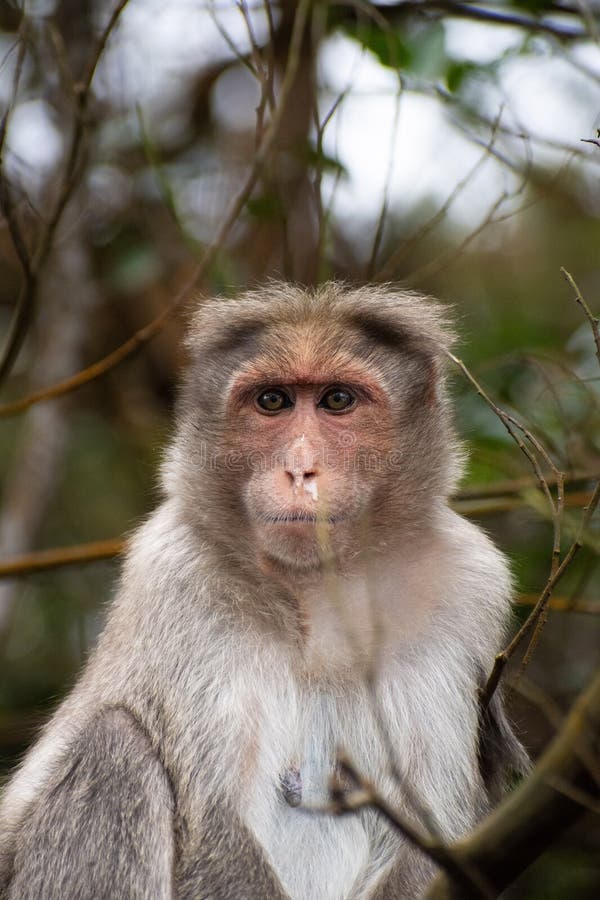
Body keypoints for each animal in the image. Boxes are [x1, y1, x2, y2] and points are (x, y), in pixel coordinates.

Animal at [0, 283, 527, 900]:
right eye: (272, 402)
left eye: (338, 400)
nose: (300, 470)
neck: (318, 592)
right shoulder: (176, 575)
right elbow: (215, 830)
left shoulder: (467, 585)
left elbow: (431, 834)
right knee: (114, 749)